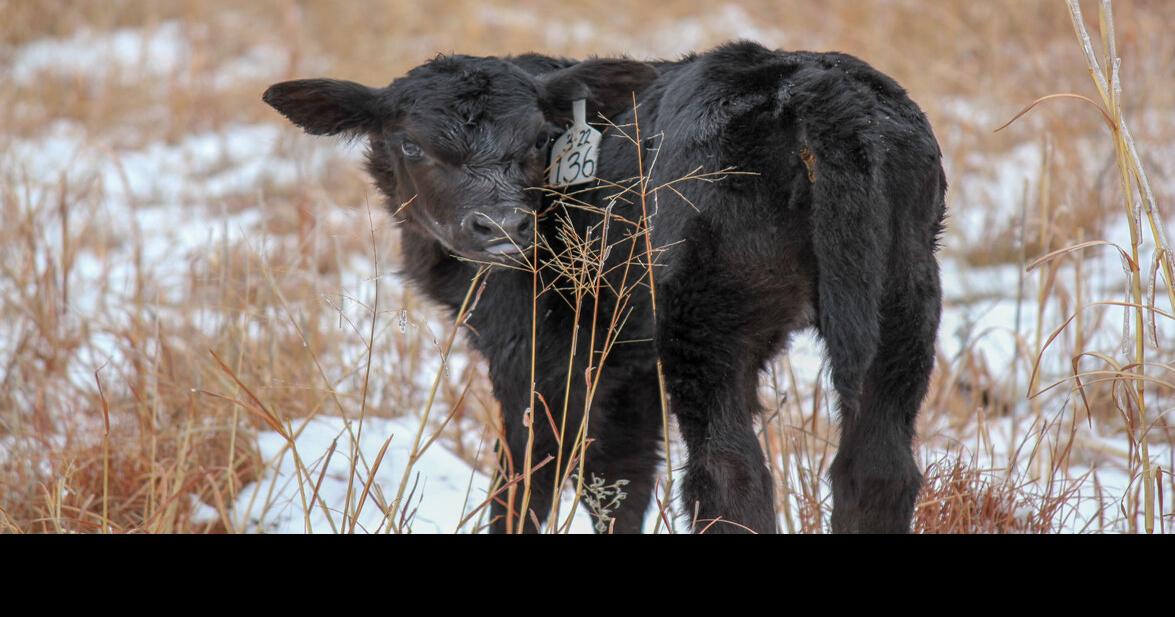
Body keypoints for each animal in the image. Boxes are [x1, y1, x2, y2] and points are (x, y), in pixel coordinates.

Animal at [263, 40, 946, 533]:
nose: (502, 226)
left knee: (727, 476)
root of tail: (814, 87)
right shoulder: (623, 364)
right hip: (906, 297)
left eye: (540, 139)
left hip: (706, 320)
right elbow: (621, 485)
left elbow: (527, 482)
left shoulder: (537, 352)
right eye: (411, 145)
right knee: (878, 469)